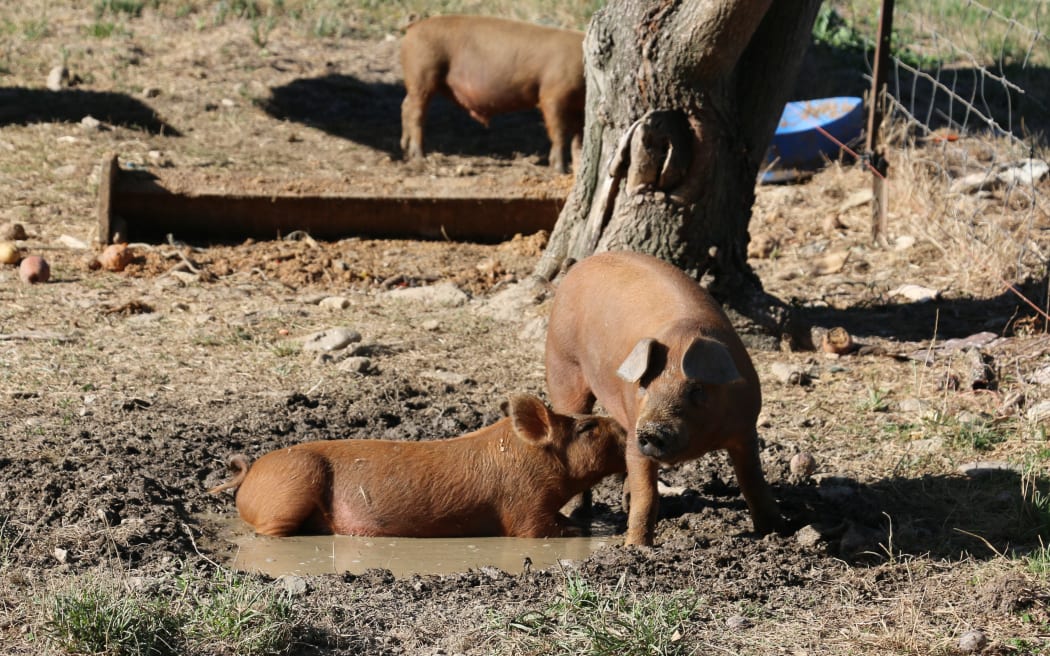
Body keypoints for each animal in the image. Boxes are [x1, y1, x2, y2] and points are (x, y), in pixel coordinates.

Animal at [208, 394, 626, 538]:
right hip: (291, 488)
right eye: (588, 427)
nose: (625, 427)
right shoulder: (524, 506)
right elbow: (539, 530)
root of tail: (250, 472)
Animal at [399, 15, 585, 173]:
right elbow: (560, 133)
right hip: (422, 73)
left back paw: (404, 147)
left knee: (405, 105)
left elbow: (578, 139)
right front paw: (561, 170)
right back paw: (419, 157)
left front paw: (576, 167)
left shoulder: (579, 107)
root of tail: (414, 26)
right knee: (416, 113)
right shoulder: (553, 95)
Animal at [544, 251, 783, 546]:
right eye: (644, 386)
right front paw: (635, 547)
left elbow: (753, 482)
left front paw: (777, 530)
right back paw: (578, 516)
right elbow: (647, 495)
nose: (652, 430)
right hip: (562, 364)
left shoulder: (746, 427)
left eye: (696, 390)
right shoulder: (637, 436)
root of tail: (579, 266)